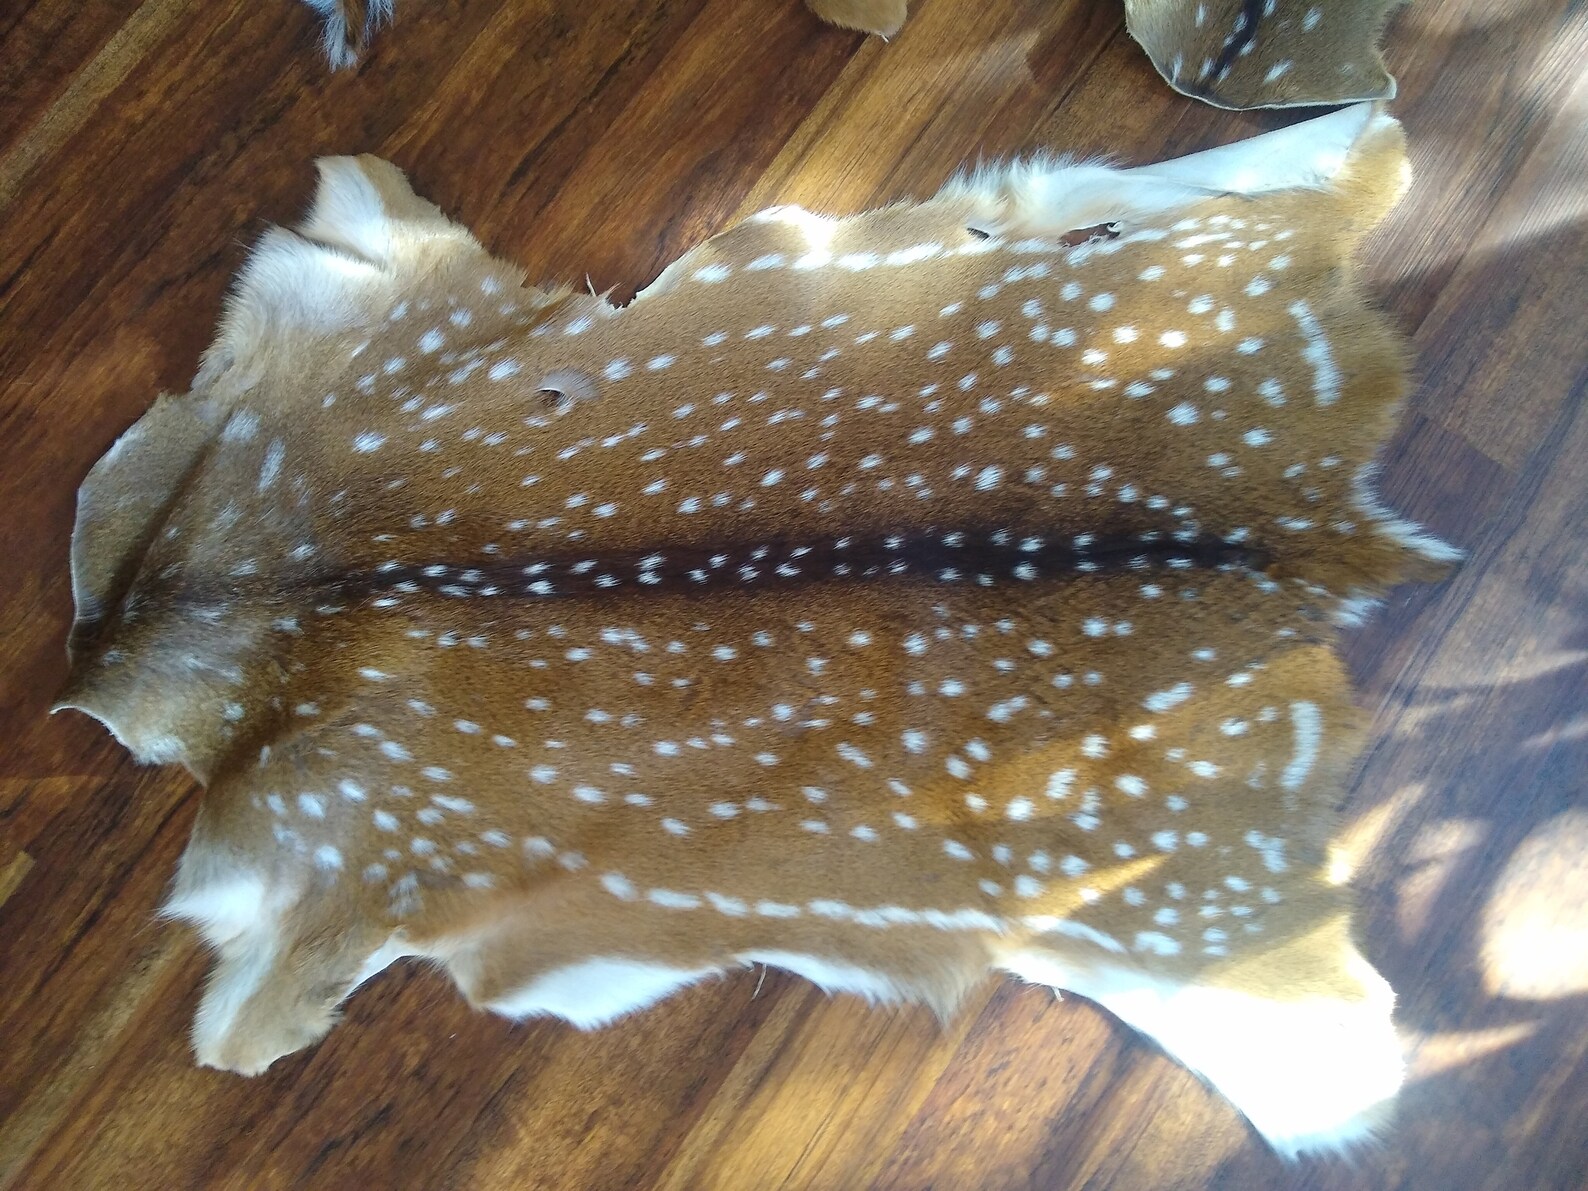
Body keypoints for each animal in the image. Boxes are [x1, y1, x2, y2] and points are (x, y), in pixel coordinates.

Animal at [56, 102, 1456, 1157]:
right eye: (135, 474)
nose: (77, 648)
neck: (288, 591)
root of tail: (1335, 529)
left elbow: (242, 1022)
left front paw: (232, 1040)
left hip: (1158, 929)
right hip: (1098, 212)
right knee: (1337, 145)